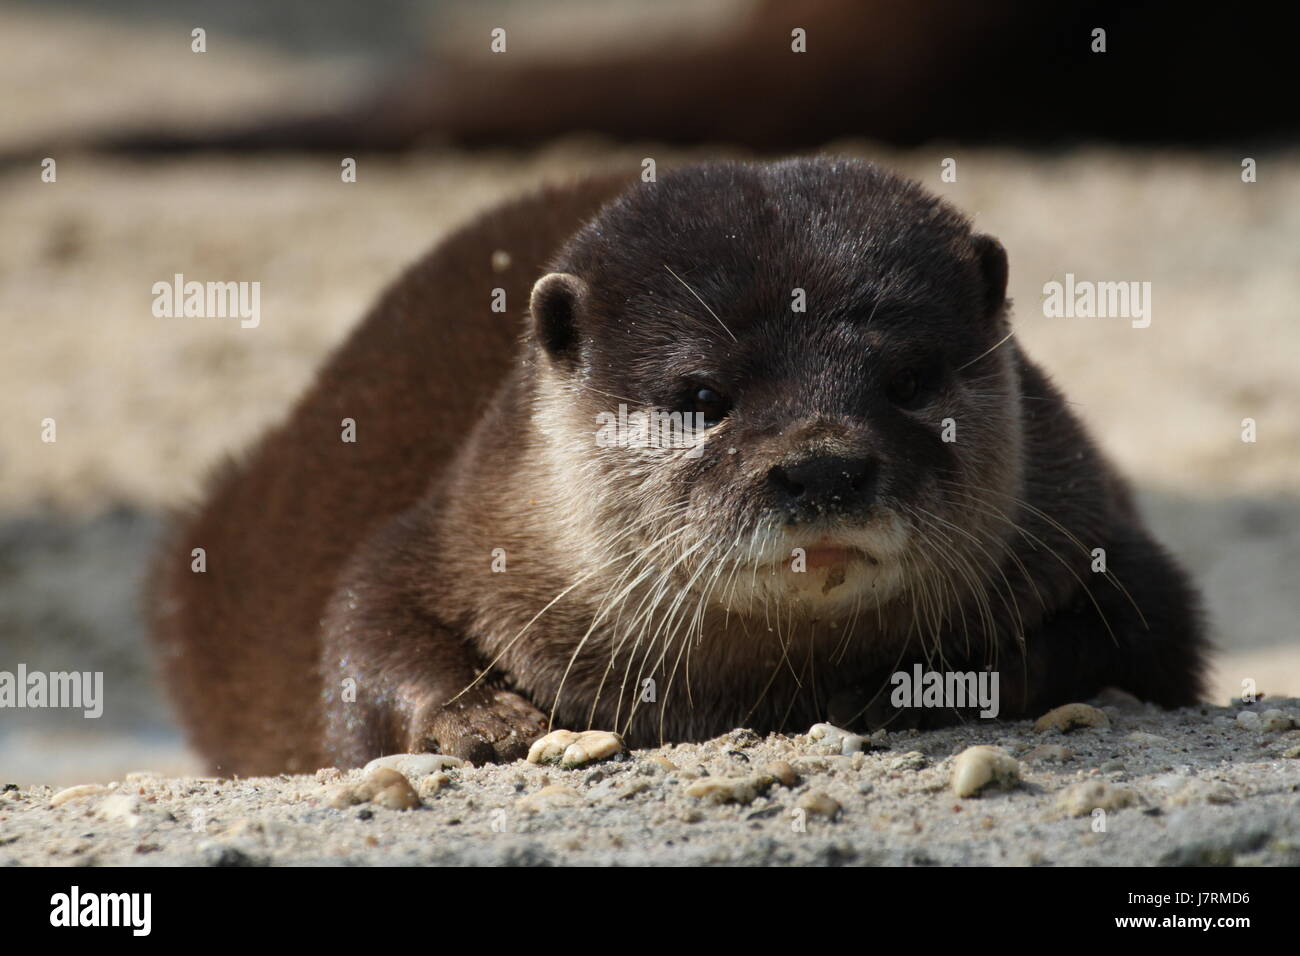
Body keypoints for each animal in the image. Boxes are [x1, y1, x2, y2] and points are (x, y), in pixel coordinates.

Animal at [150, 158, 1206, 775]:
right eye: (701, 396)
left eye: (909, 381)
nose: (822, 468)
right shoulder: (455, 528)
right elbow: (361, 622)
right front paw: (479, 719)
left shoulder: (1082, 512)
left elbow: (1147, 620)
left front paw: (914, 685)